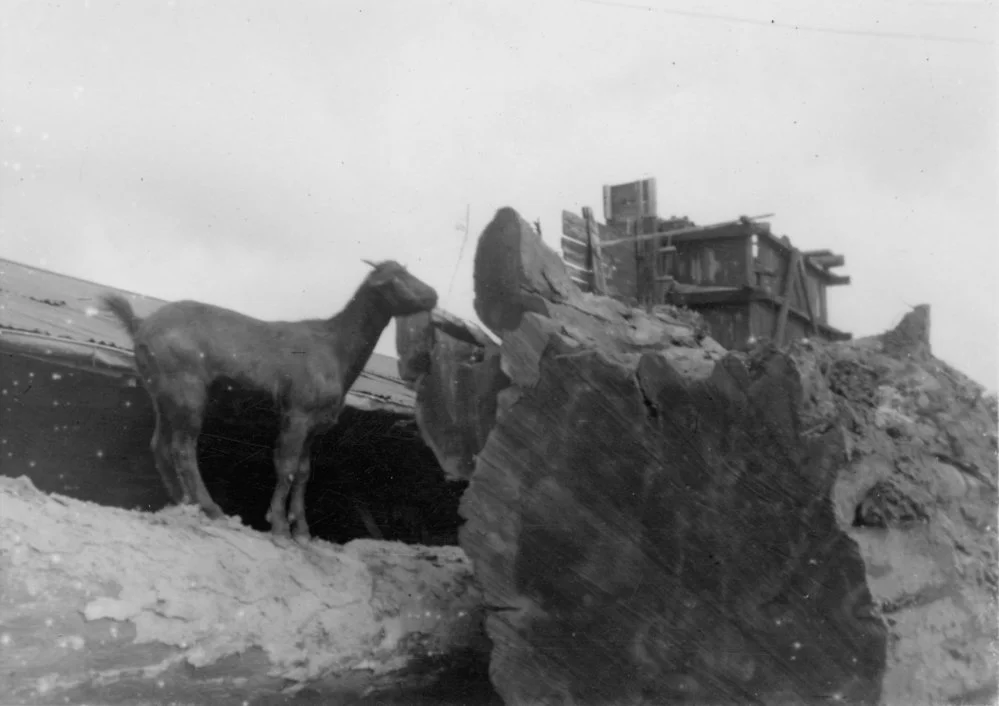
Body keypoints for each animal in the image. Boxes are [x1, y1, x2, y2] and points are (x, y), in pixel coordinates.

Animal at [102, 260, 438, 540]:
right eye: (398, 277)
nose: (433, 295)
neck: (335, 347)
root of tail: (140, 323)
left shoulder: (314, 425)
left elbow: (302, 473)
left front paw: (302, 530)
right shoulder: (298, 413)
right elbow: (286, 467)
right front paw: (278, 526)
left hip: (162, 392)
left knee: (159, 444)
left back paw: (183, 502)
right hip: (187, 389)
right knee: (182, 449)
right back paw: (211, 509)